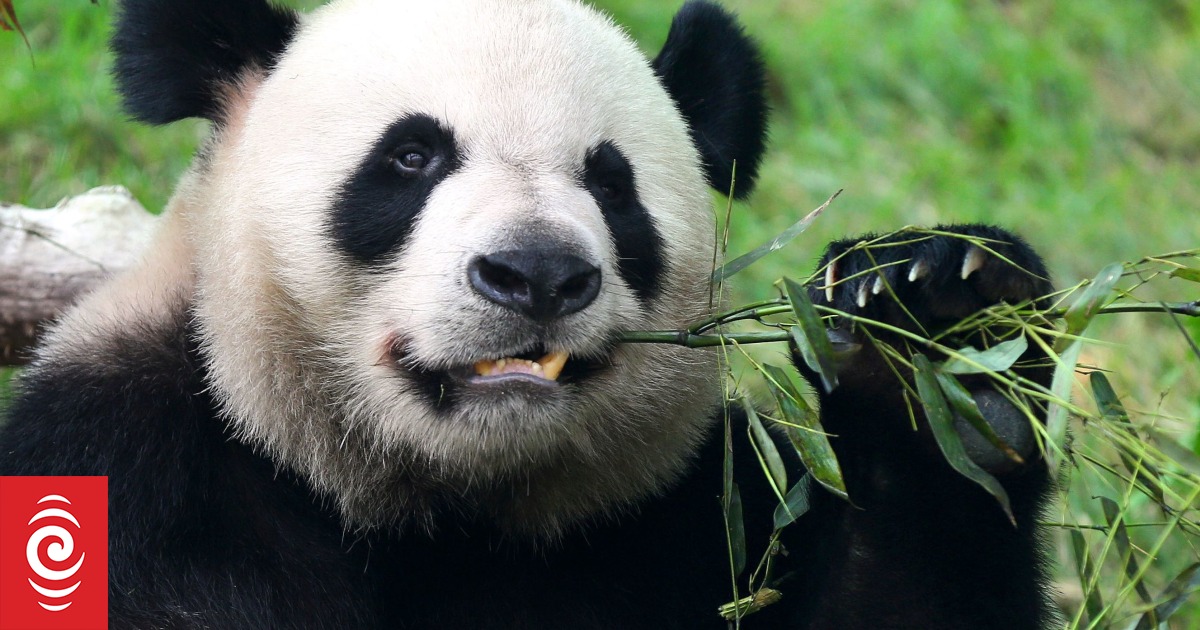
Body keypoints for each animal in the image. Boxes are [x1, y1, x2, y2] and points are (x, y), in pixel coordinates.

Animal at [0, 0, 1057, 628]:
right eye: (412, 156)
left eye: (611, 184)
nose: (538, 274)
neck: (446, 507)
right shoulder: (133, 470)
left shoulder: (684, 516)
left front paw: (934, 336)